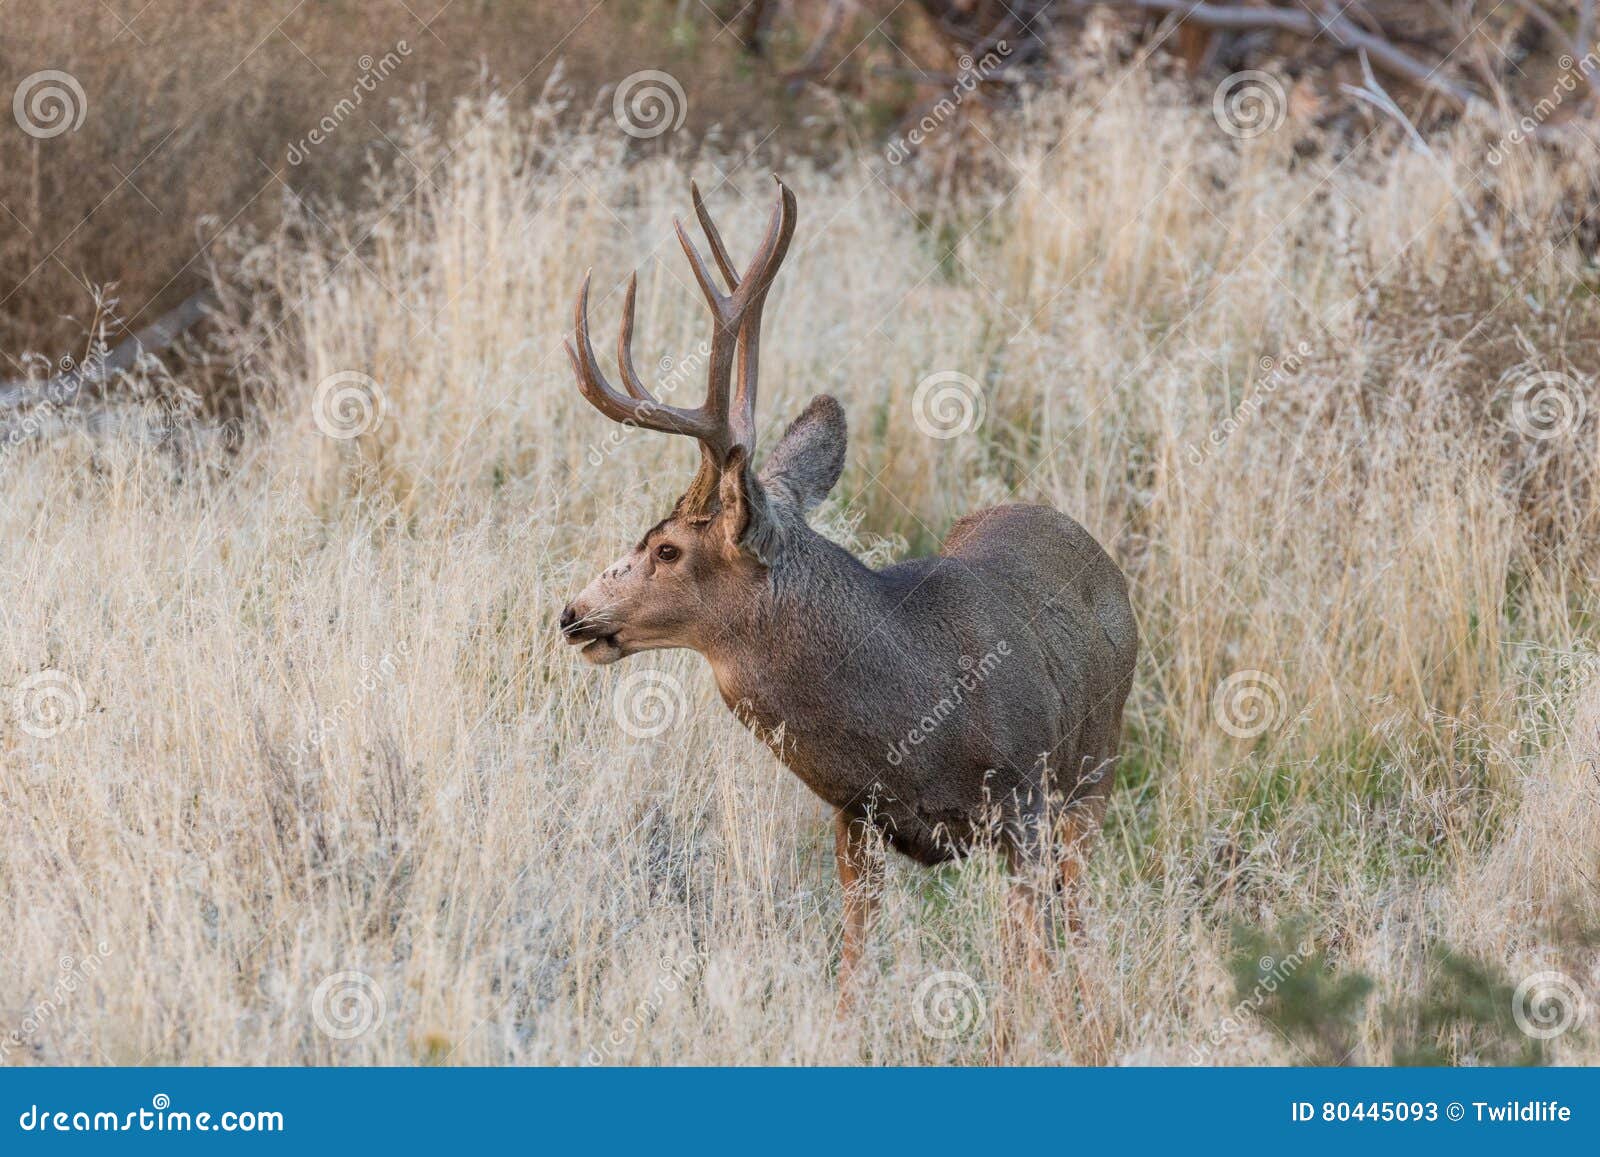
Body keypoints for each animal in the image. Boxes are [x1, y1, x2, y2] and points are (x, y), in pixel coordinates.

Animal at [559, 178, 1138, 996]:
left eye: (666, 548)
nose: (572, 613)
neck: (912, 713)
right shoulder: (852, 815)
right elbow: (853, 970)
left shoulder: (1024, 802)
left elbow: (1036, 968)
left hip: (1095, 775)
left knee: (1079, 924)